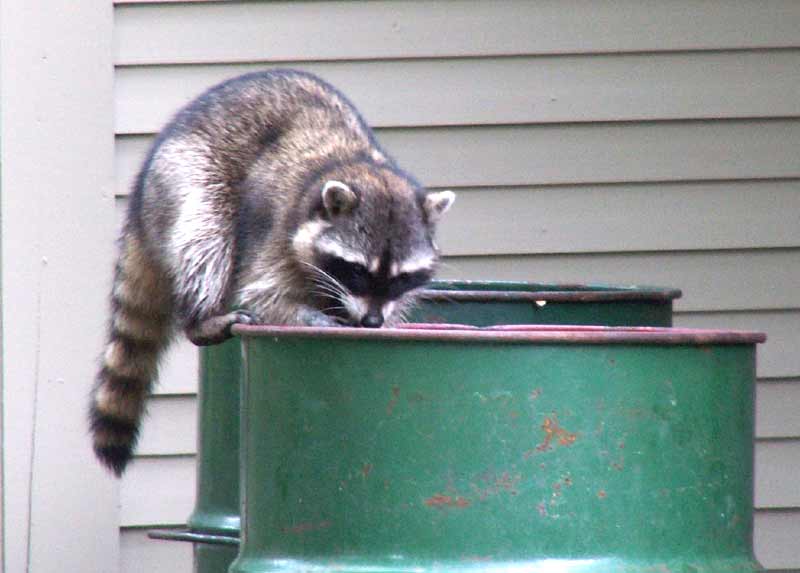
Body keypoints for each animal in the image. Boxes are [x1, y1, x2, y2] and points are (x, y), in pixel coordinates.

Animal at [89, 70, 455, 476]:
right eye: (357, 271)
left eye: (401, 278)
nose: (372, 323)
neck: (351, 162)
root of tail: (140, 207)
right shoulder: (275, 226)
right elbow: (262, 292)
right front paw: (312, 319)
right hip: (187, 176)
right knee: (206, 236)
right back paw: (202, 320)